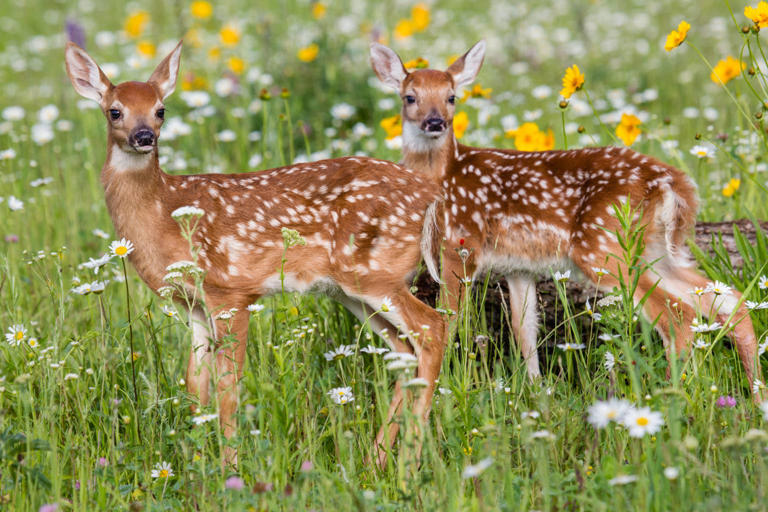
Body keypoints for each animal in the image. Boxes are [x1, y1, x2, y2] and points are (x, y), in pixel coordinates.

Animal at [65, 40, 448, 467]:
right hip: (353, 291)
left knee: (434, 329)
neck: (164, 212)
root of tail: (432, 195)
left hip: (375, 274)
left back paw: (408, 465)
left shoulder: (231, 293)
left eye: (161, 109)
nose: (144, 135)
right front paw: (198, 462)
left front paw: (229, 468)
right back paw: (376, 461)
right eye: (114, 111)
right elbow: (196, 386)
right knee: (405, 351)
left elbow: (228, 391)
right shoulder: (194, 306)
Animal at [370, 40, 762, 392]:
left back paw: (671, 396)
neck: (443, 177)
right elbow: (524, 331)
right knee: (731, 302)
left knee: (678, 316)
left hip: (604, 249)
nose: (435, 122)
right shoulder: (518, 267)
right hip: (658, 251)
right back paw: (755, 395)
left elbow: (449, 320)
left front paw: (447, 387)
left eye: (452, 96)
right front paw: (535, 394)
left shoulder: (460, 245)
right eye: (410, 97)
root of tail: (672, 182)